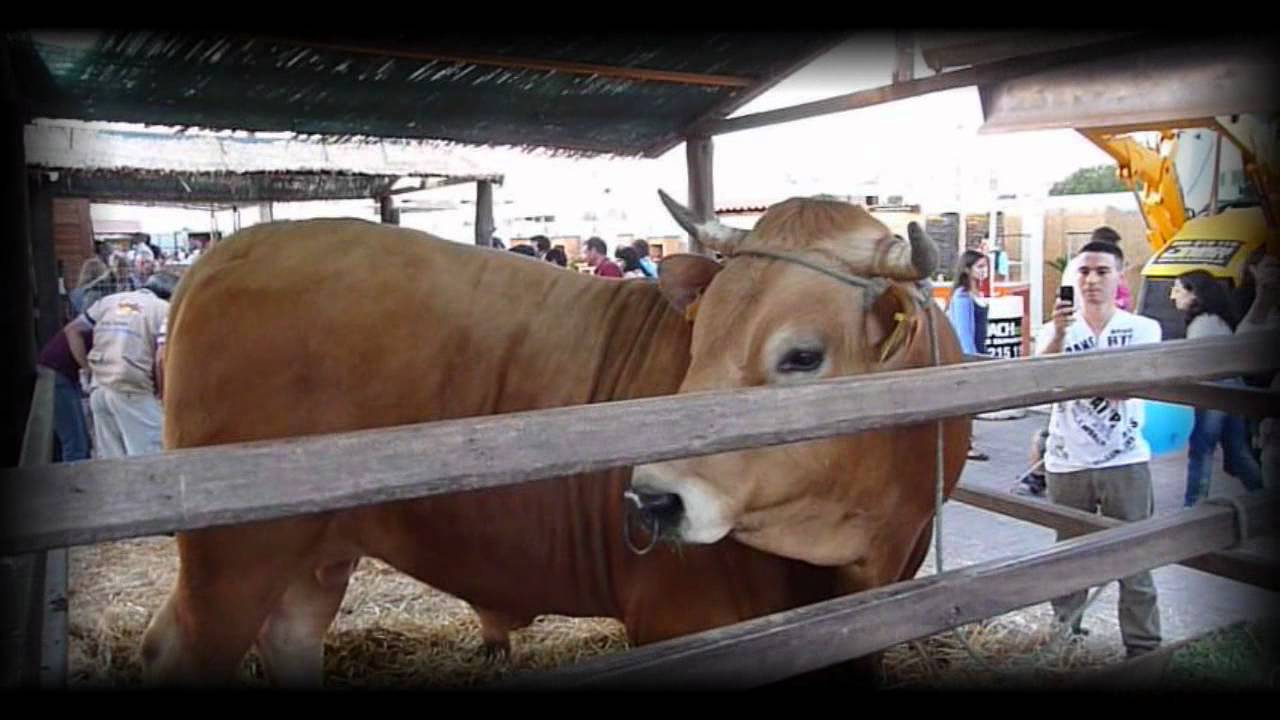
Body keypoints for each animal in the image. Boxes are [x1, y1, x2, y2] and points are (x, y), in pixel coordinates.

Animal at [140, 191, 970, 688]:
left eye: (802, 355)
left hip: (316, 553)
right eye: (698, 339)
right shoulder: (682, 621)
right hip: (233, 560)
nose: (650, 500)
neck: (851, 558)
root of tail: (227, 252)